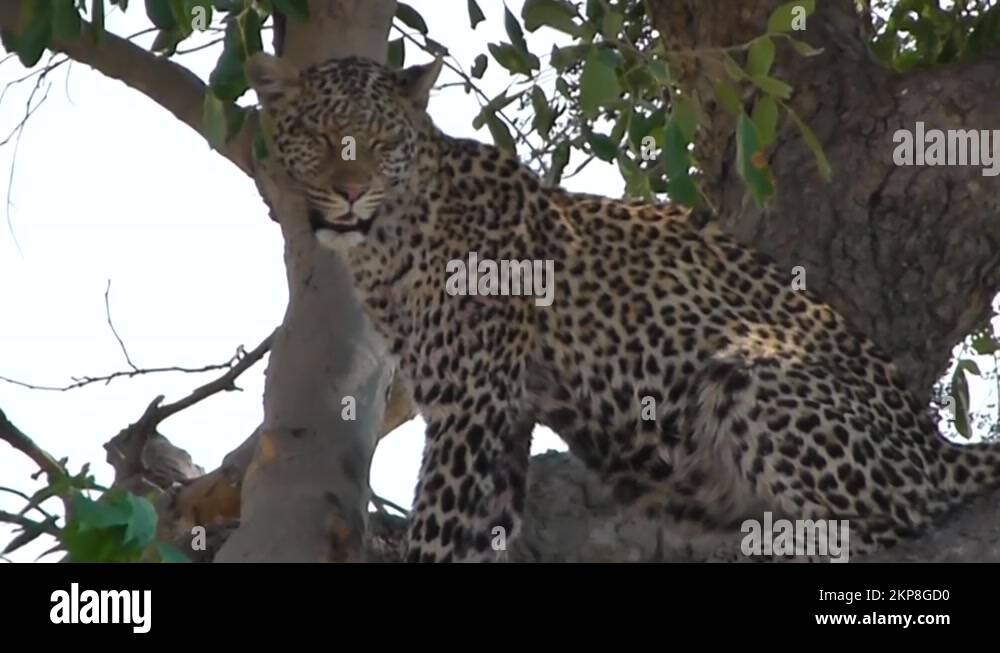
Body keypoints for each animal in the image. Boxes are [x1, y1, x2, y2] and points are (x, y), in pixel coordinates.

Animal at [245, 52, 1000, 563]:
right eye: (319, 138)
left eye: (379, 144)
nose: (350, 191)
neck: (388, 241)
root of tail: (934, 445)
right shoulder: (505, 414)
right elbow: (482, 530)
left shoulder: (471, 403)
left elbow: (438, 527)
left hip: (750, 373)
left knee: (876, 527)